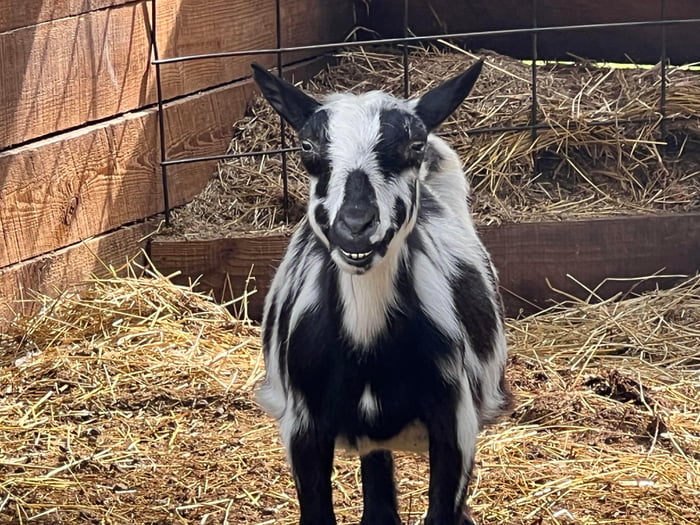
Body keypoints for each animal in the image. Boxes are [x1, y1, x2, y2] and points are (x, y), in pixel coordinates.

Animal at [252, 59, 511, 525]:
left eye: (414, 144)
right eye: (306, 147)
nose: (356, 225)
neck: (367, 344)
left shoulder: (456, 423)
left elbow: (443, 513)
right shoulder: (302, 426)